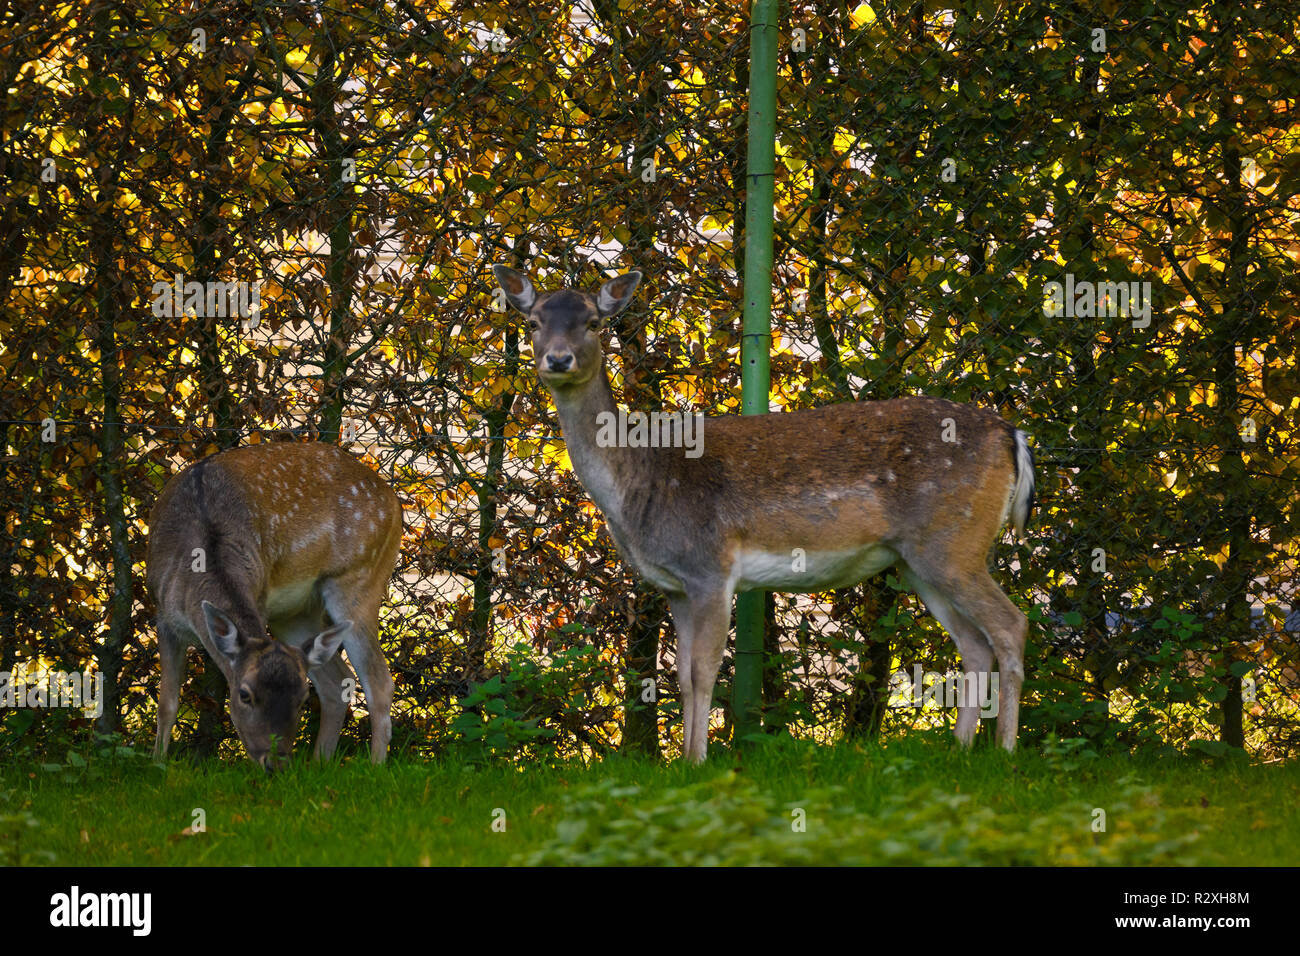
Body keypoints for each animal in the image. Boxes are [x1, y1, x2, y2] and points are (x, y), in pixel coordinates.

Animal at [147, 441, 402, 770]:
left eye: (301, 699)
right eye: (244, 694)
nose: (277, 762)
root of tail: (395, 503)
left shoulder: (260, 598)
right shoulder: (163, 616)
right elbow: (166, 703)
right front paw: (157, 762)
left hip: (361, 576)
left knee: (379, 680)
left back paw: (374, 766)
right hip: (295, 614)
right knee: (337, 680)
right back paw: (319, 764)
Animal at [494, 264, 1035, 763]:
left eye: (591, 322)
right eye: (534, 321)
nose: (557, 358)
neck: (641, 483)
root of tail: (1012, 435)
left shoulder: (710, 566)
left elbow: (704, 670)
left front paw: (697, 761)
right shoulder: (675, 585)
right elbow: (682, 676)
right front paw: (685, 760)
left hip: (954, 542)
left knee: (1011, 625)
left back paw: (1006, 751)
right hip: (920, 559)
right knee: (974, 642)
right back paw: (961, 749)